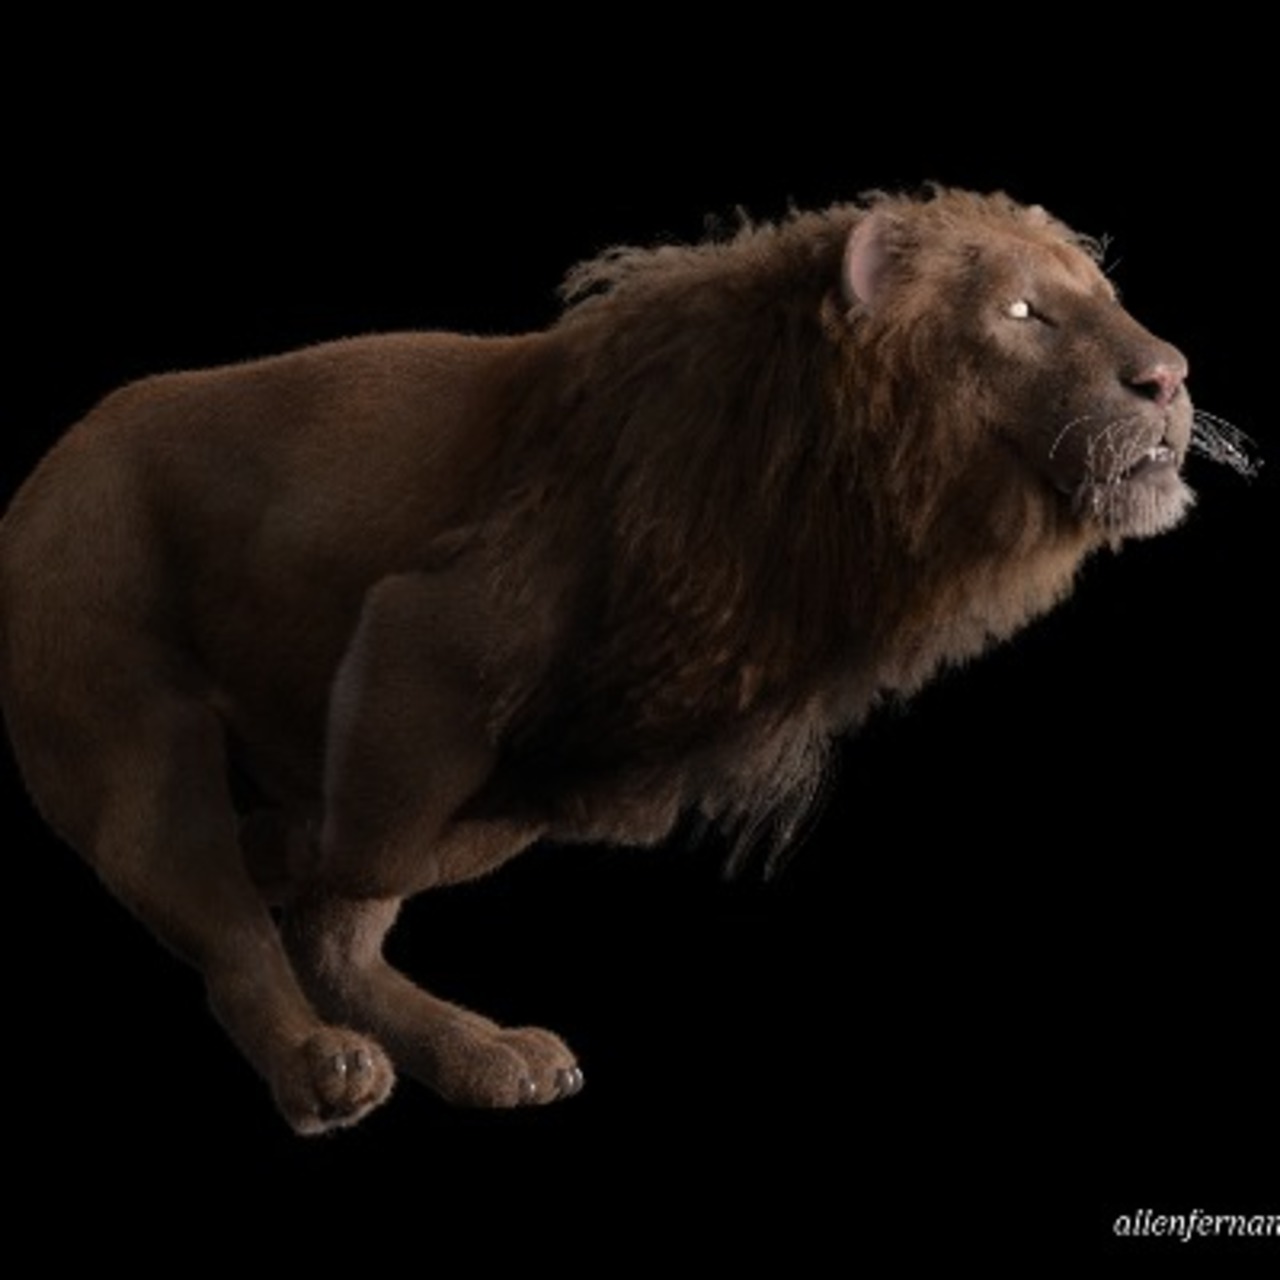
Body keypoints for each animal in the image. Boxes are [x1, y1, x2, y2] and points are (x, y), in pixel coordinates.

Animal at [0, 187, 1235, 1134]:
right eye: (1023, 312)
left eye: (1106, 297)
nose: (1170, 376)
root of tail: (43, 478)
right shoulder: (424, 628)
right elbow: (353, 847)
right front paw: (289, 847)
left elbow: (360, 881)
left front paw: (300, 853)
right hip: (127, 712)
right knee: (220, 915)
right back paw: (326, 1061)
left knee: (332, 937)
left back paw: (486, 1051)